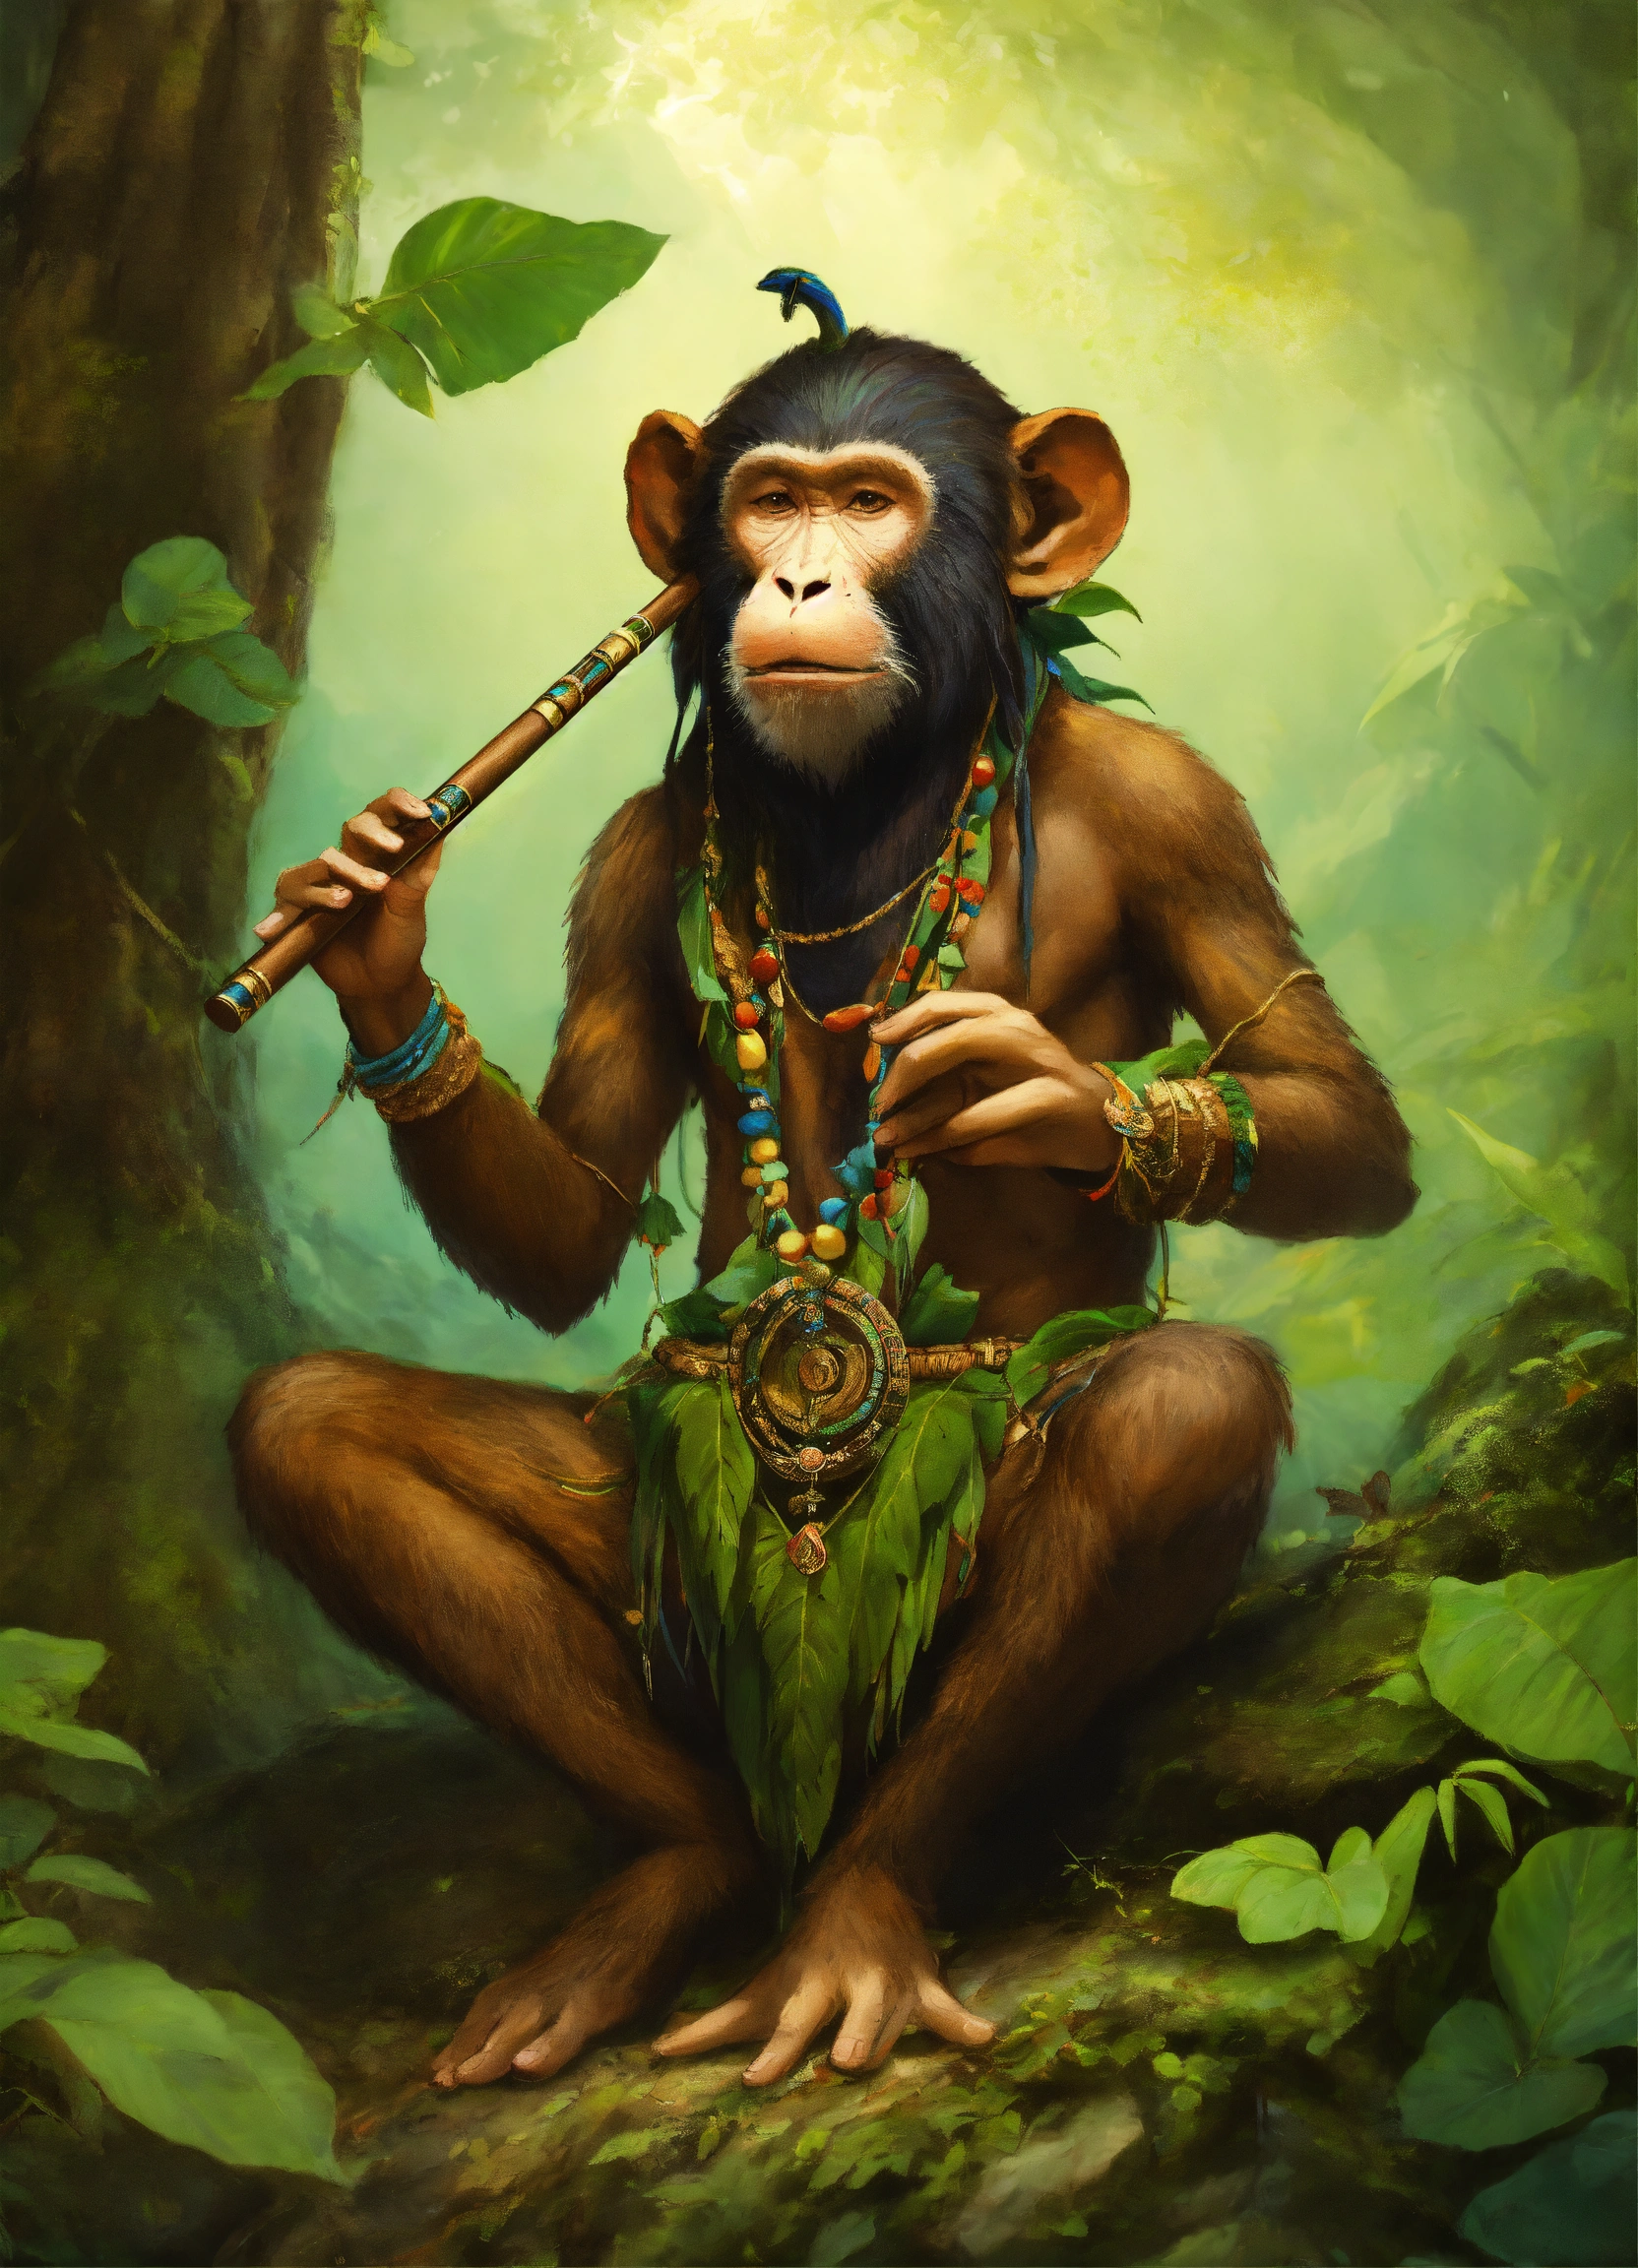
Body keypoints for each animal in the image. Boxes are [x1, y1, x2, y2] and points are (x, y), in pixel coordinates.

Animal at [231, 320, 1415, 2094]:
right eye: (770, 498)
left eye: (869, 502)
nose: (792, 581)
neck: (879, 798)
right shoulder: (632, 855)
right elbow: (573, 1225)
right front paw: (364, 918)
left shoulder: (1177, 812)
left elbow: (1333, 1111)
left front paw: (1042, 1088)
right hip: (667, 1557)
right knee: (309, 1427)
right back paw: (677, 1878)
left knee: (1176, 1409)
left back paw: (849, 1922)